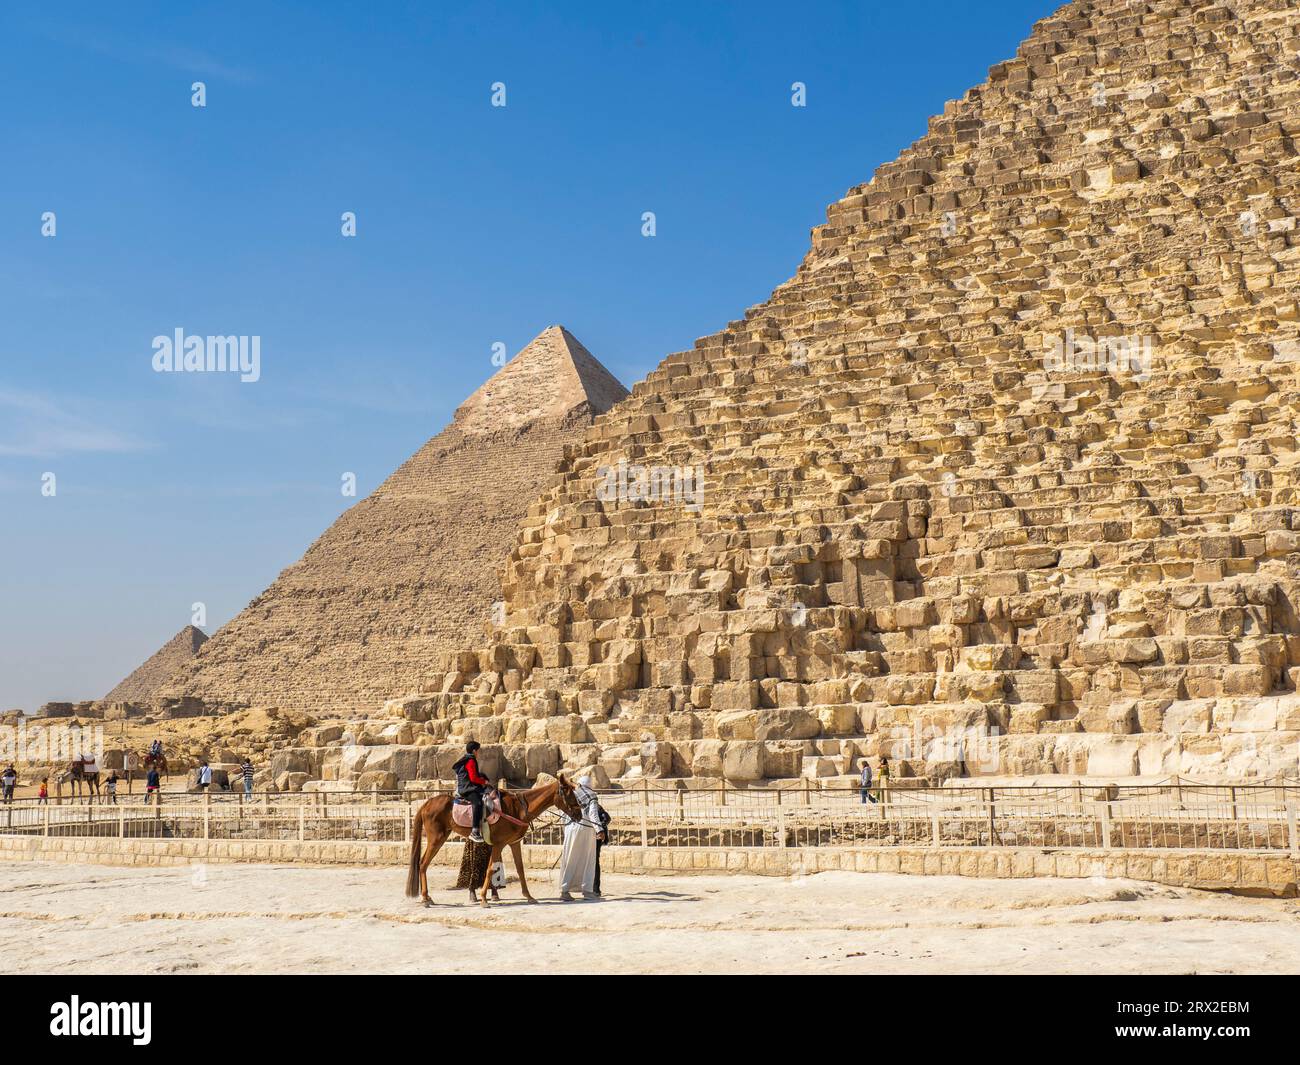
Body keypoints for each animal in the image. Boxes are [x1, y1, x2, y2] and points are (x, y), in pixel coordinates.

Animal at [405, 775, 585, 910]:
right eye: (570, 794)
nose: (579, 814)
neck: (519, 809)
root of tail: (426, 804)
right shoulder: (499, 844)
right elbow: (491, 868)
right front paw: (484, 899)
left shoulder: (514, 843)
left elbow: (520, 869)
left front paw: (529, 896)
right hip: (437, 838)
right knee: (422, 863)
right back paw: (425, 898)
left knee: (423, 864)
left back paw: (428, 897)